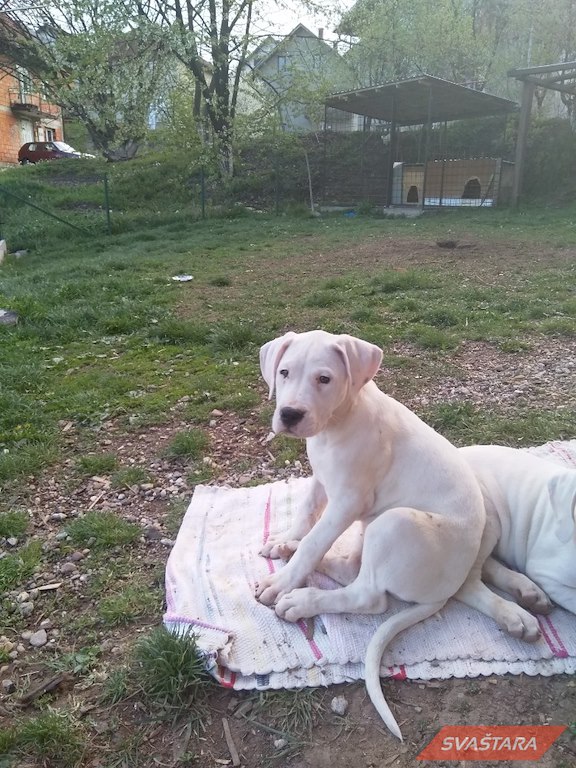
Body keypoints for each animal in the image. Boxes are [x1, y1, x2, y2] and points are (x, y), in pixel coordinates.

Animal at [254, 330, 524, 736]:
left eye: (324, 379)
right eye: (284, 372)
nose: (290, 414)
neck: (339, 422)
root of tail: (448, 589)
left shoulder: (348, 501)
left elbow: (314, 543)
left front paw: (282, 582)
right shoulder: (322, 479)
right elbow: (306, 512)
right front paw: (288, 538)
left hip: (394, 523)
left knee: (369, 596)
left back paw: (302, 600)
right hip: (375, 528)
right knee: (353, 570)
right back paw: (289, 550)